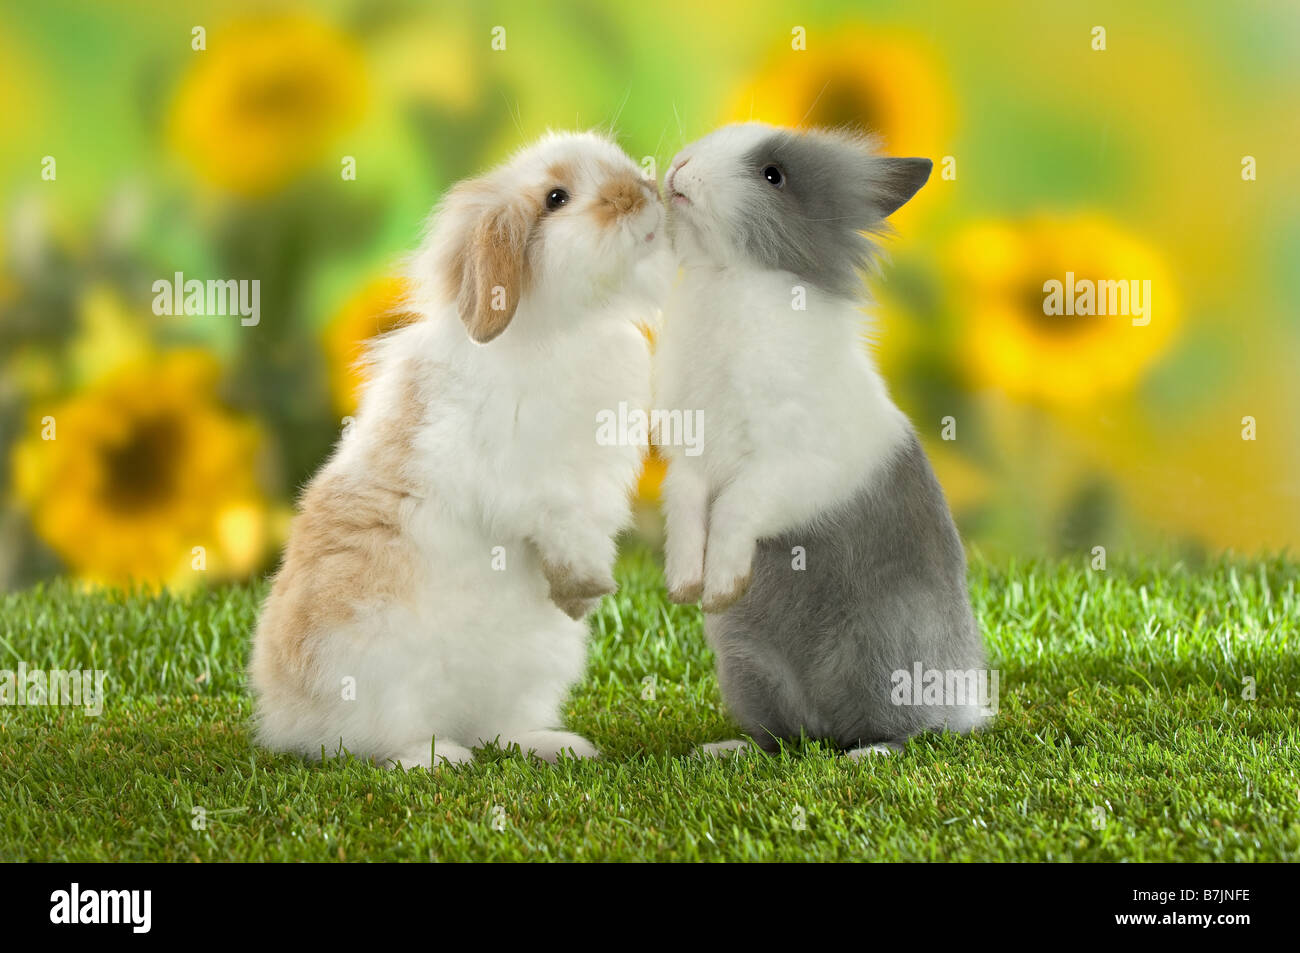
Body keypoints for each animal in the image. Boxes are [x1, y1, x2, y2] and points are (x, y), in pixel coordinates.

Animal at [250, 131, 671, 770]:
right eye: (556, 197)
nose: (642, 194)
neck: (565, 328)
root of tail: (287, 718)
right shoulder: (516, 477)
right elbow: (553, 521)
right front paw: (585, 586)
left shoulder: (597, 481)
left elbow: (591, 524)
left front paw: (584, 593)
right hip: (375, 666)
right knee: (378, 740)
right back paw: (437, 759)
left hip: (535, 667)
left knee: (496, 727)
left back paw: (554, 746)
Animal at [654, 123, 991, 758]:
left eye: (773, 176)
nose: (680, 166)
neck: (731, 283)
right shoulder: (689, 461)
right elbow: (686, 510)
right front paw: (686, 585)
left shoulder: (791, 469)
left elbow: (737, 506)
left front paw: (721, 584)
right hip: (745, 664)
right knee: (783, 736)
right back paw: (727, 750)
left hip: (884, 658)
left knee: (913, 730)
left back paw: (870, 754)